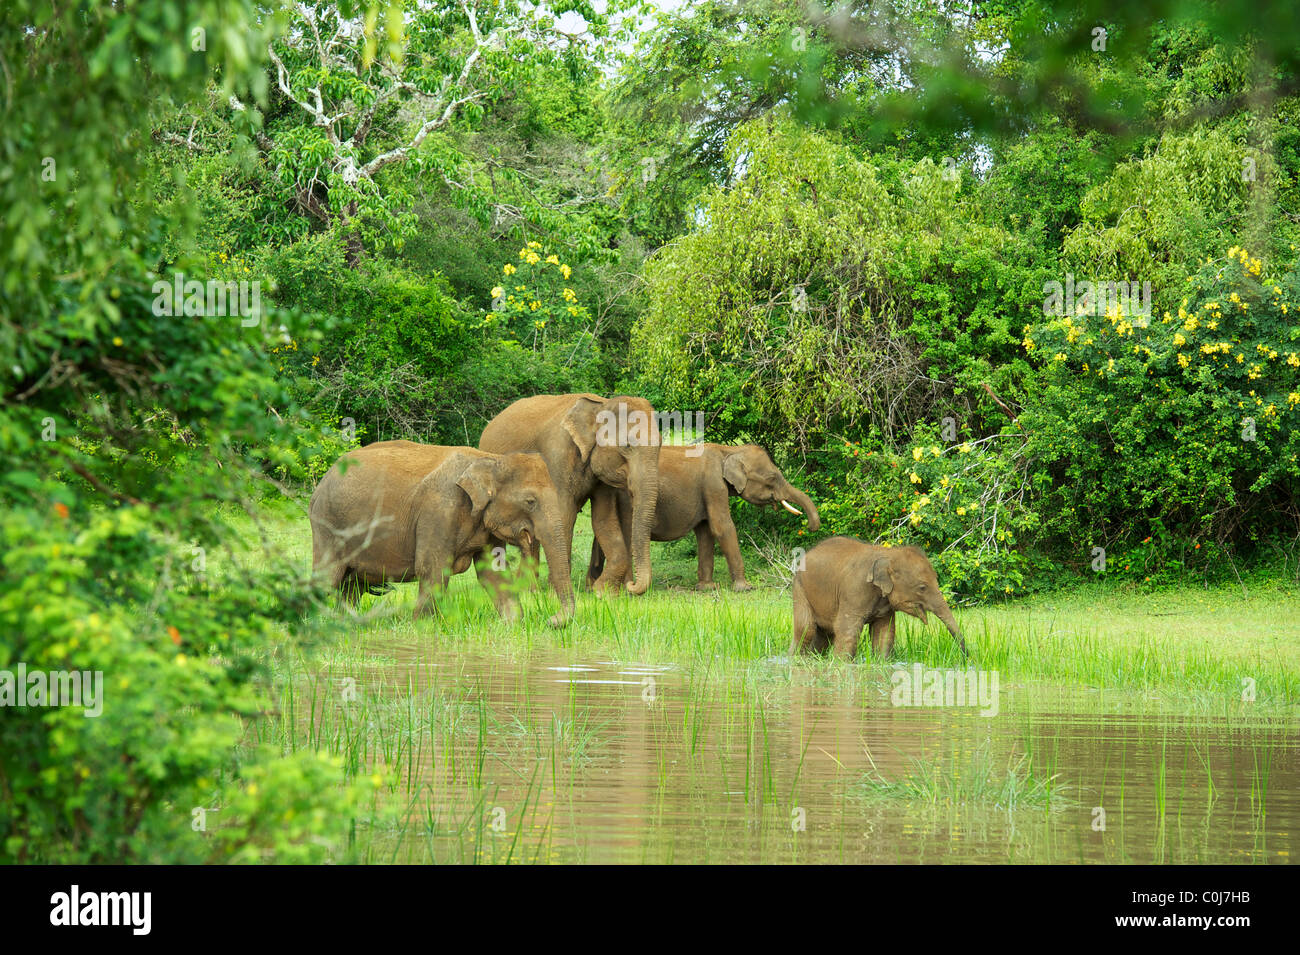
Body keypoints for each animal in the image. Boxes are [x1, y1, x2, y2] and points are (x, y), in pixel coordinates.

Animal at [309, 440, 574, 626]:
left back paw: (346, 622)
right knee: (327, 578)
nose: (551, 621)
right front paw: (423, 627)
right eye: (530, 501)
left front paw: (513, 623)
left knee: (350, 585)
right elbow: (431, 568)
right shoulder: (439, 511)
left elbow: (492, 573)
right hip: (327, 523)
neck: (490, 460)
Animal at [479, 393, 661, 595]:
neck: (600, 405)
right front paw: (555, 593)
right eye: (627, 445)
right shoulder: (556, 459)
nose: (631, 586)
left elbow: (603, 518)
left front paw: (600, 591)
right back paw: (527, 590)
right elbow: (563, 515)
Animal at [585, 443, 820, 592]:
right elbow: (722, 526)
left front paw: (706, 588)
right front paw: (745, 588)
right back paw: (625, 586)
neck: (729, 450)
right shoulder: (713, 484)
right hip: (625, 500)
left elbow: (706, 531)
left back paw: (593, 587)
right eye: (772, 478)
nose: (811, 528)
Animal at [791, 536, 967, 660]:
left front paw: (881, 662)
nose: (966, 658)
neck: (889, 554)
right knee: (806, 629)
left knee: (824, 634)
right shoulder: (855, 589)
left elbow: (884, 631)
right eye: (922, 588)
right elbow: (847, 629)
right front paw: (841, 665)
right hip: (799, 588)